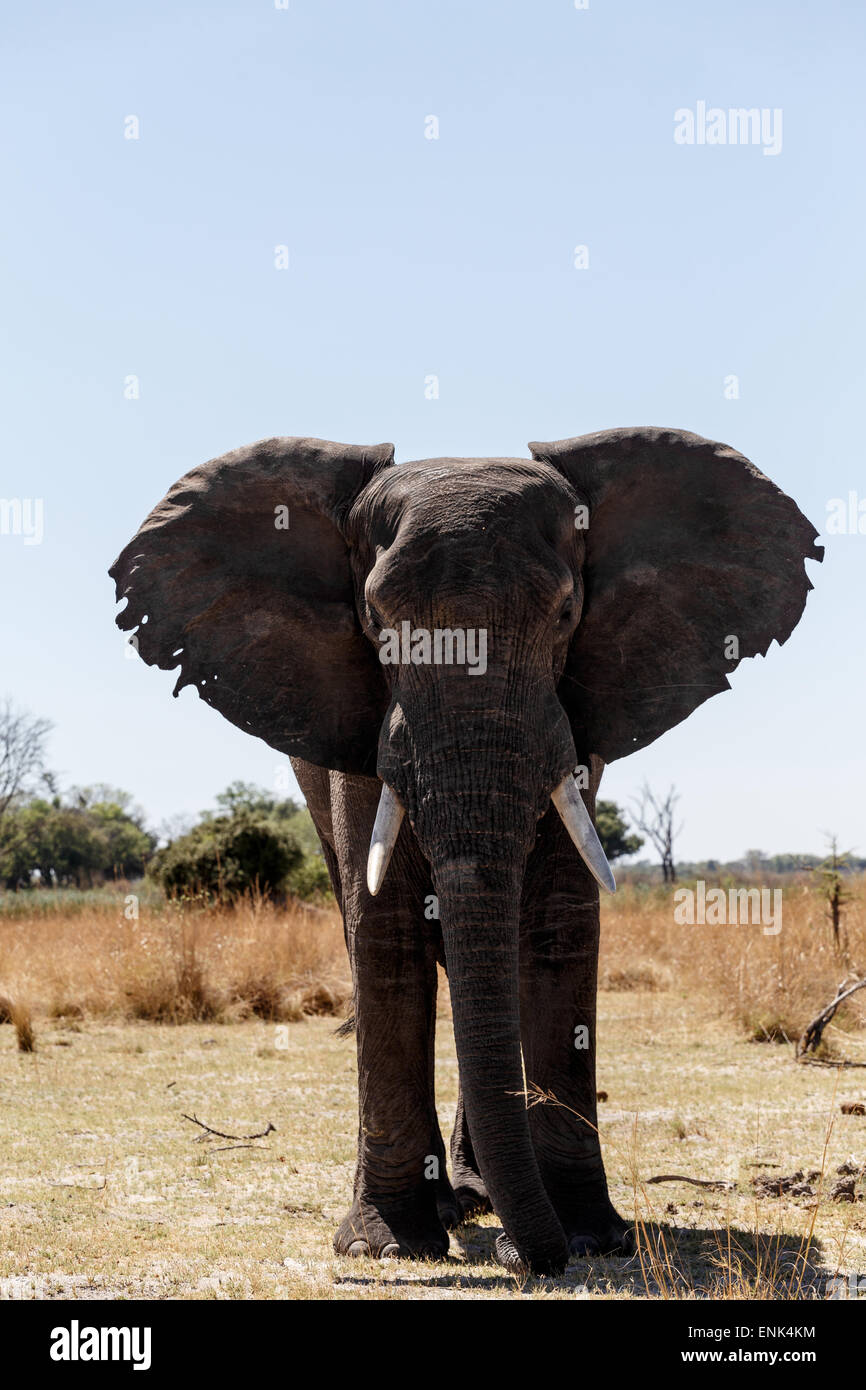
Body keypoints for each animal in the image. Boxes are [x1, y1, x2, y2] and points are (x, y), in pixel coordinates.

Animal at [110, 427, 821, 1275]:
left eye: (566, 613)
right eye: (375, 617)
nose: (530, 1258)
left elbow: (557, 925)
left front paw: (590, 1235)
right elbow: (385, 933)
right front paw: (388, 1244)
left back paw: (484, 1196)